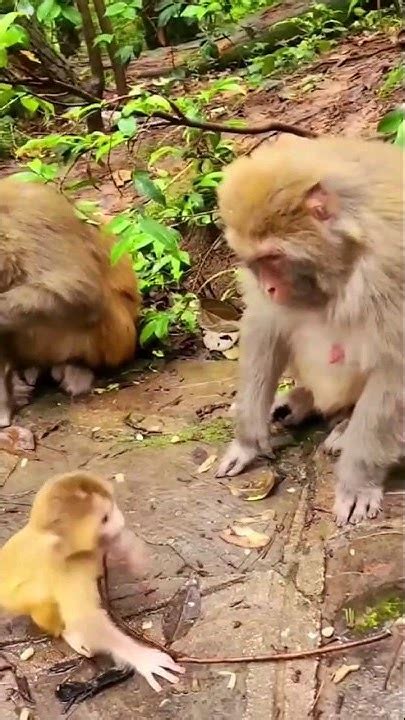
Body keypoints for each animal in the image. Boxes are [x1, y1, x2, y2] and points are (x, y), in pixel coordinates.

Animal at [0, 471, 185, 692]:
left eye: (112, 506)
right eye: (105, 518)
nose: (120, 520)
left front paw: (130, 554)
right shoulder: (69, 570)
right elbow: (87, 620)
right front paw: (142, 658)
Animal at [215, 134, 404, 526]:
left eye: (274, 257)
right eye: (256, 263)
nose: (270, 287)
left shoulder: (394, 268)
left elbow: (395, 368)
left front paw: (357, 481)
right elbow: (264, 325)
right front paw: (247, 438)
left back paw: (344, 427)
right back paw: (300, 401)